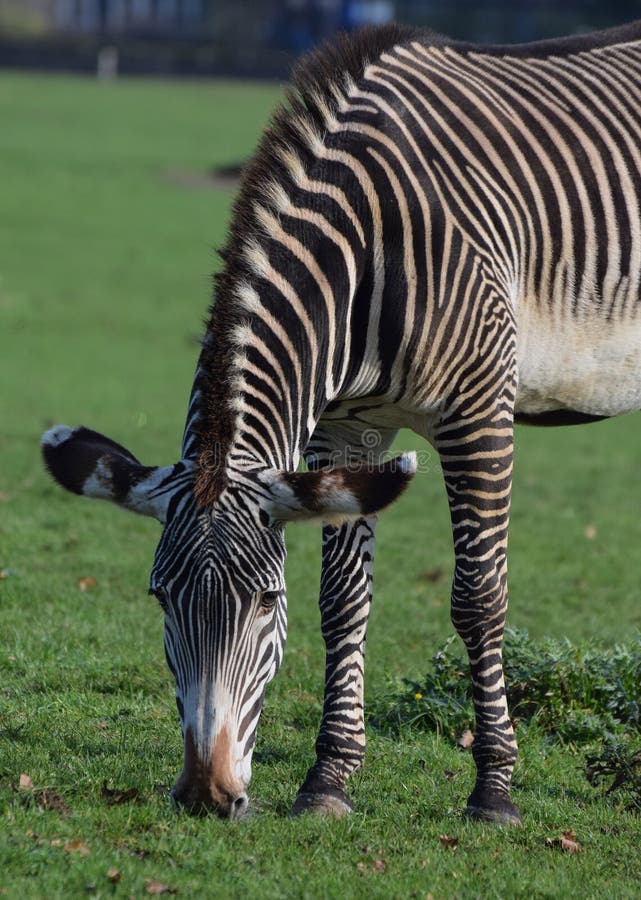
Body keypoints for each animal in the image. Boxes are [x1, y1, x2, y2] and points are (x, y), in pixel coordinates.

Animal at [41, 19, 641, 824]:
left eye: (266, 602)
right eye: (159, 597)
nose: (207, 796)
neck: (367, 251)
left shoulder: (479, 412)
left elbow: (478, 599)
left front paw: (493, 789)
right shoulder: (346, 431)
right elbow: (343, 603)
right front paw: (328, 779)